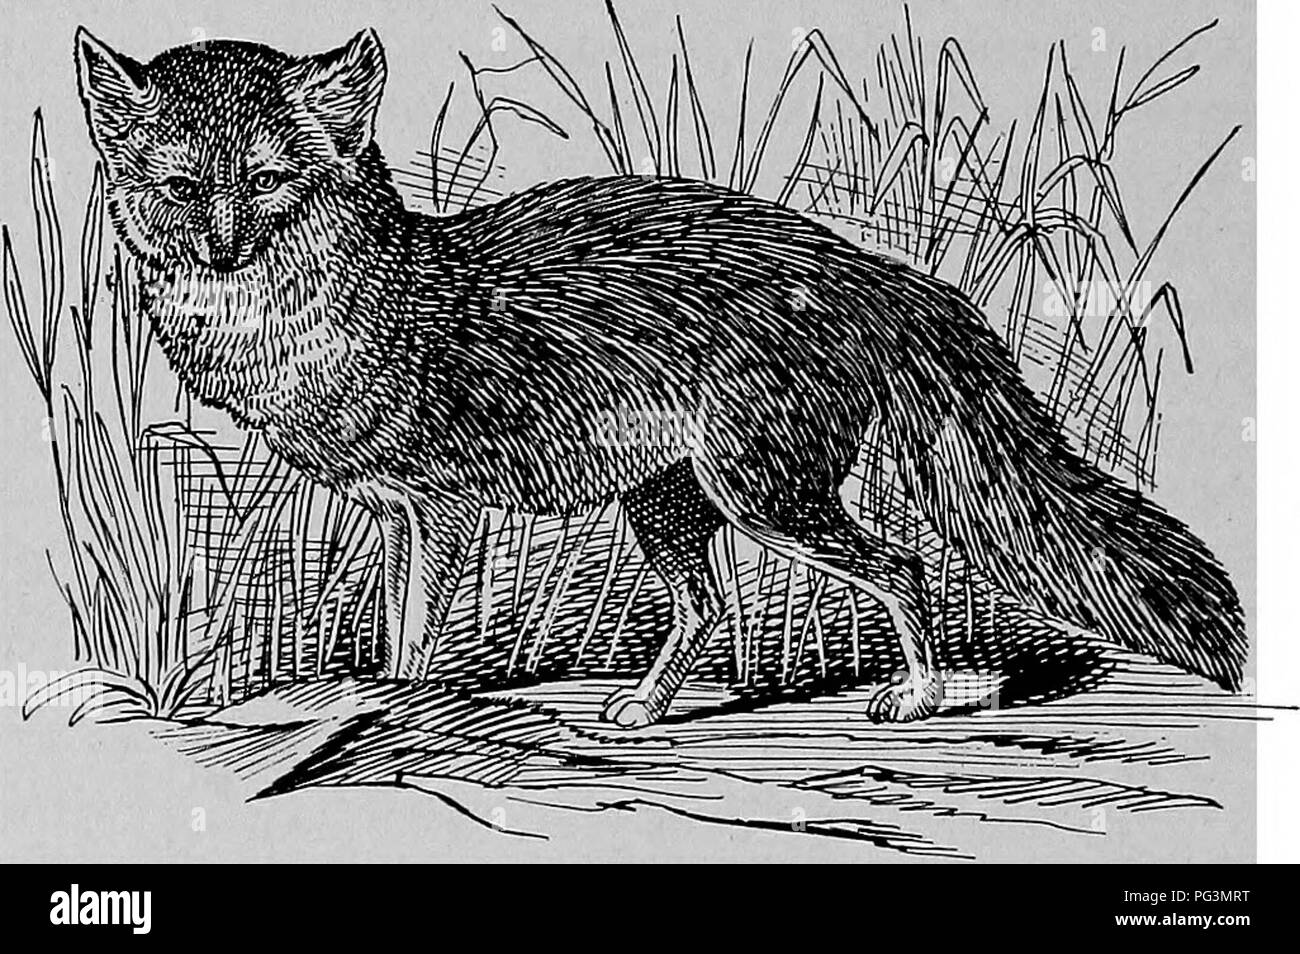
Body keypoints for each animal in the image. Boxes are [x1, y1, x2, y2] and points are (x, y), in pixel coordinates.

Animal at [74, 27, 1246, 727]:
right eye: (180, 188)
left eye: (266, 179)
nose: (220, 247)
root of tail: (859, 260)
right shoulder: (390, 510)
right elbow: (394, 626)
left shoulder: (445, 512)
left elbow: (412, 638)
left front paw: (394, 707)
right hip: (669, 502)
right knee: (709, 604)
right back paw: (641, 711)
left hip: (761, 497)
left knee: (901, 566)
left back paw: (913, 698)